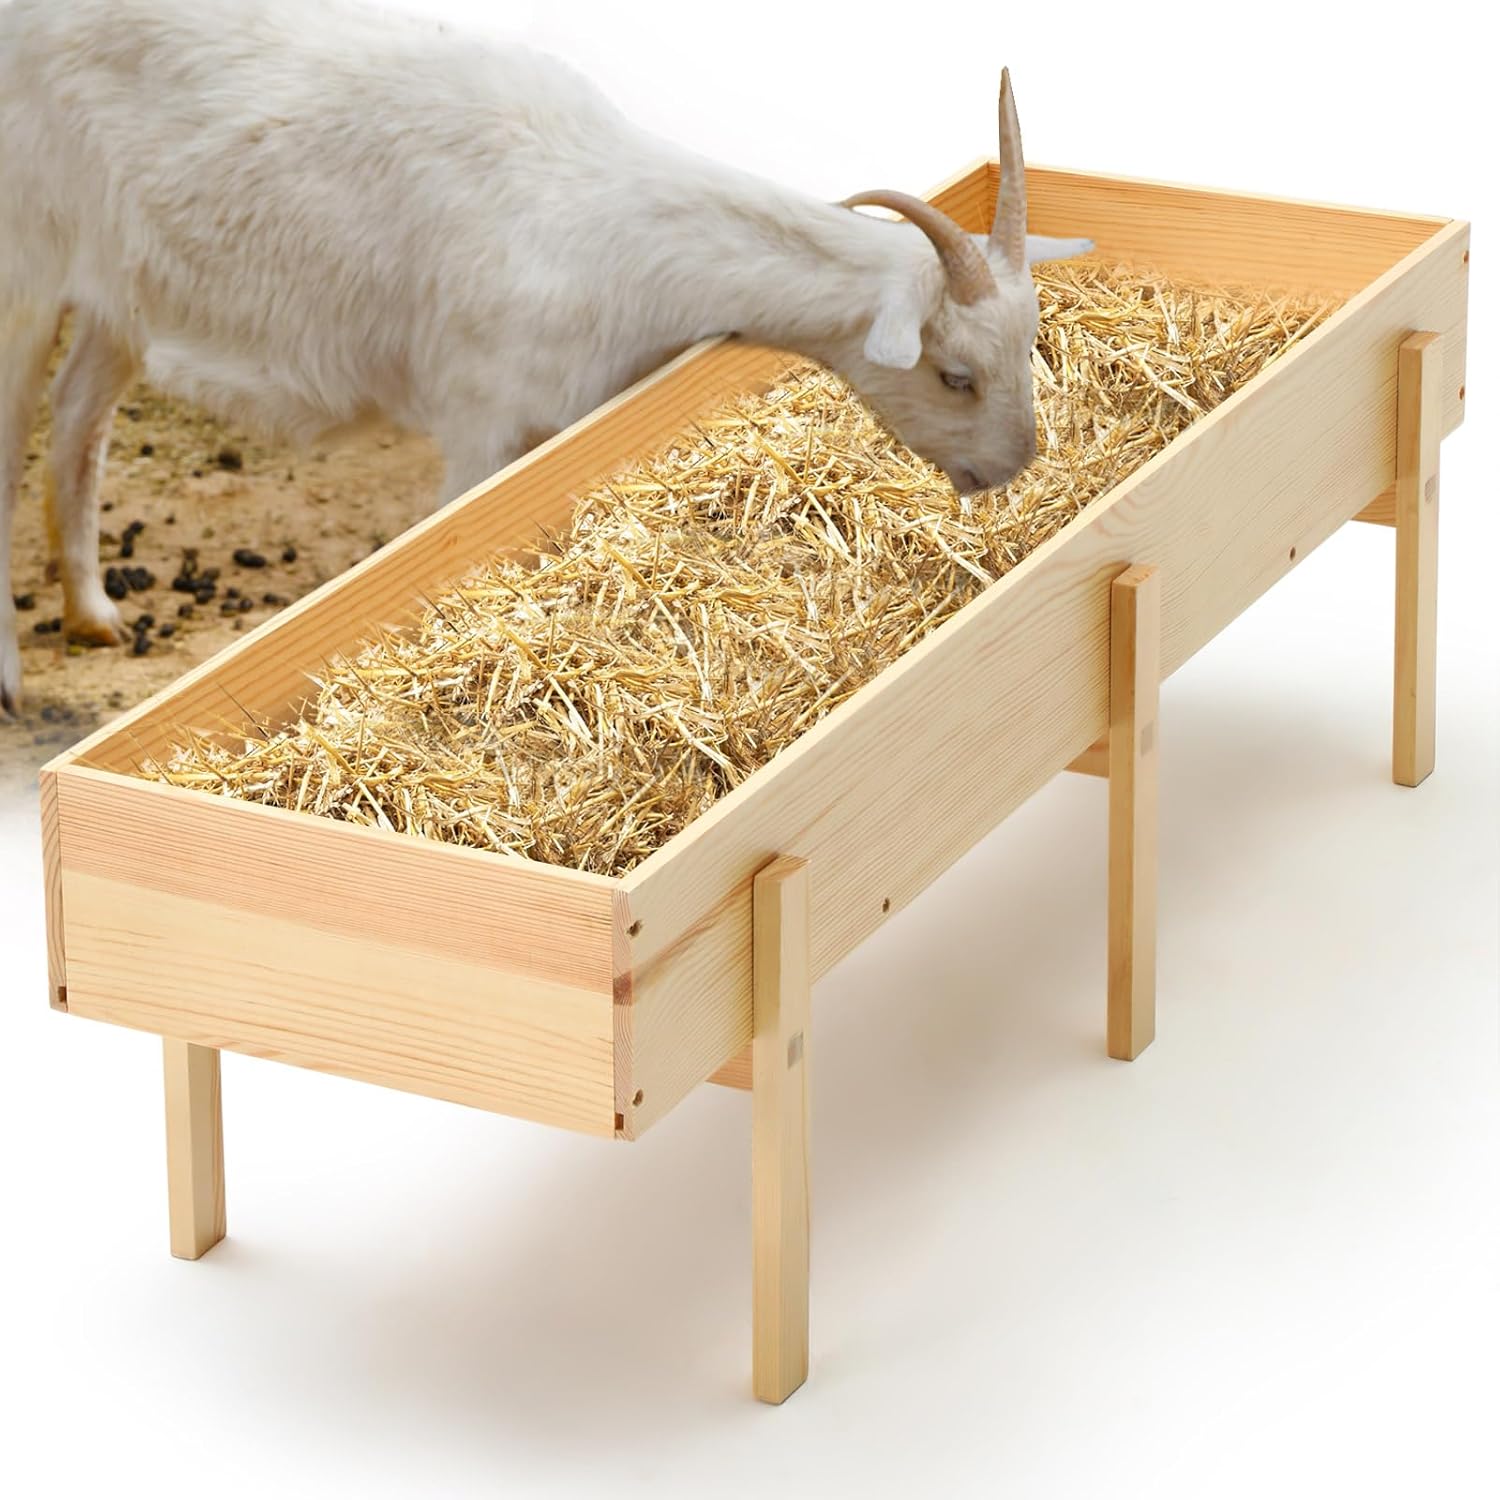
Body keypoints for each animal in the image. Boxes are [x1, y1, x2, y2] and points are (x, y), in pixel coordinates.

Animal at [0, 0, 1091, 715]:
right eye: (956, 375)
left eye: (1030, 345)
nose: (1010, 469)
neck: (601, 220)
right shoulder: (479, 422)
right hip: (27, 260)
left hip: (121, 284)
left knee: (78, 418)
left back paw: (94, 614)